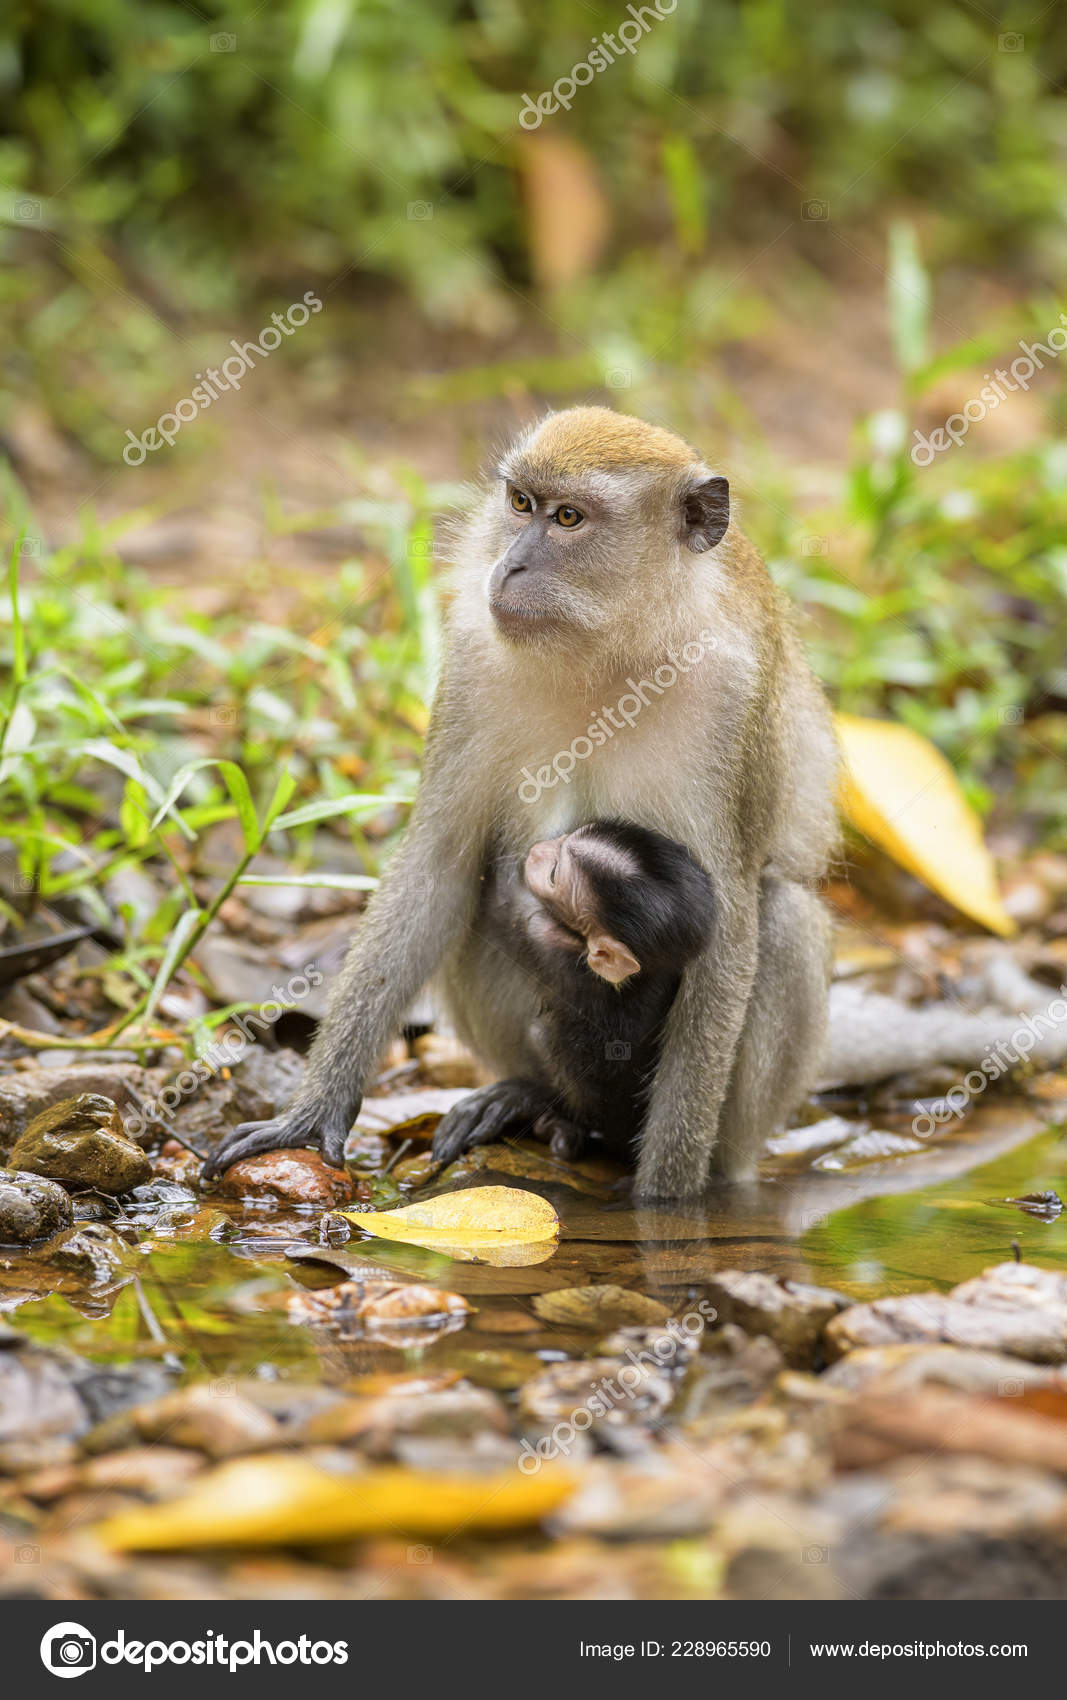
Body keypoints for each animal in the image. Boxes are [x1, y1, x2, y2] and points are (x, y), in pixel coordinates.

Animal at [429, 819, 716, 1166]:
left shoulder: (544, 934)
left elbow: (505, 908)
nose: (538, 851)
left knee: (544, 1037)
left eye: (554, 874)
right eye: (567, 836)